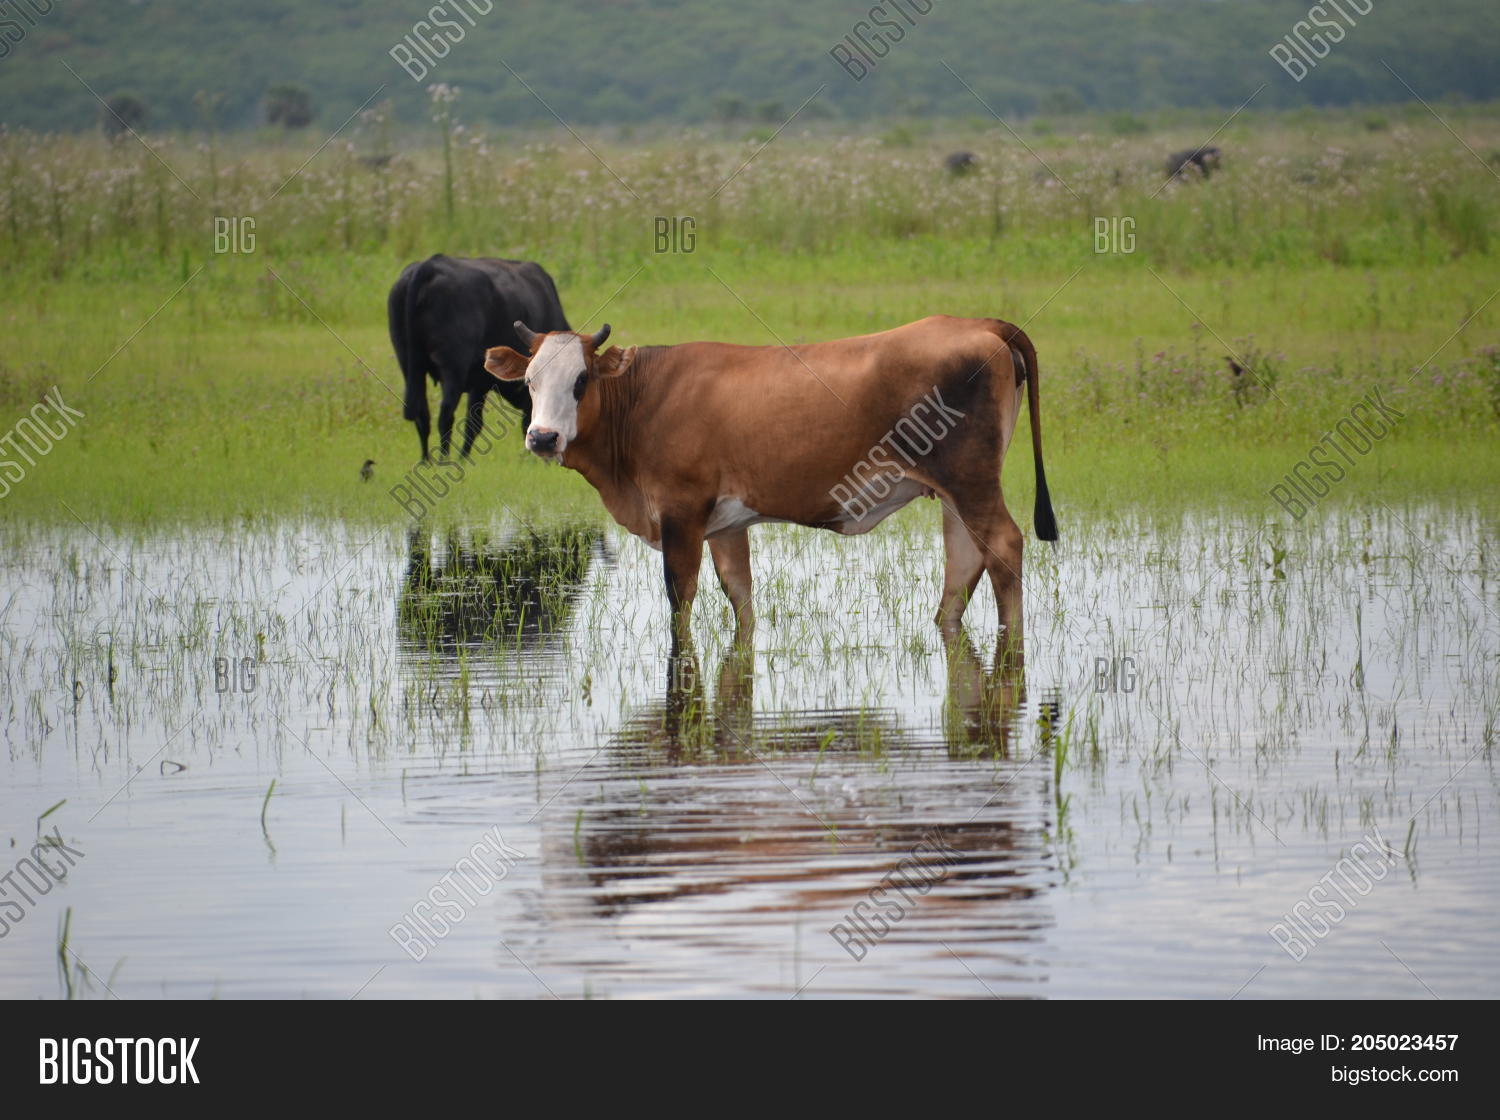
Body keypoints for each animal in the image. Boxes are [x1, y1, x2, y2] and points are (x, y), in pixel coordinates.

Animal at [388, 254, 571, 461]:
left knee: (422, 415)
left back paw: (426, 460)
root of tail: (431, 264)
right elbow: (474, 424)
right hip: (453, 369)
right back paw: (444, 459)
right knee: (445, 415)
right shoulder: (480, 383)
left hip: (409, 365)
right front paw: (463, 458)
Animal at [483, 316, 1057, 643]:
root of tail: (976, 323)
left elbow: (680, 603)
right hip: (957, 491)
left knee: (1004, 545)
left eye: (580, 380)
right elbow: (741, 598)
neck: (645, 398)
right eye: (529, 381)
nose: (542, 438)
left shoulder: (681, 515)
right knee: (964, 559)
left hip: (972, 483)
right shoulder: (726, 526)